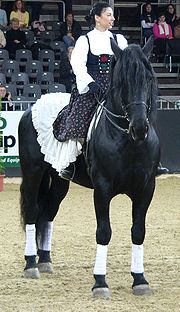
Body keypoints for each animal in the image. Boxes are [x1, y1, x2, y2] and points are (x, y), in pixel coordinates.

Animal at [17, 39, 160, 298]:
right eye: (122, 81)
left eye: (148, 78)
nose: (140, 127)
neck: (127, 139)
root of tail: (30, 108)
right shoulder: (102, 189)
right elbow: (104, 232)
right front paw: (100, 283)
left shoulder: (146, 188)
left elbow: (138, 231)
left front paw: (140, 280)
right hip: (33, 172)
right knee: (33, 212)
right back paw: (31, 264)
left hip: (59, 179)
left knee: (48, 213)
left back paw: (45, 261)